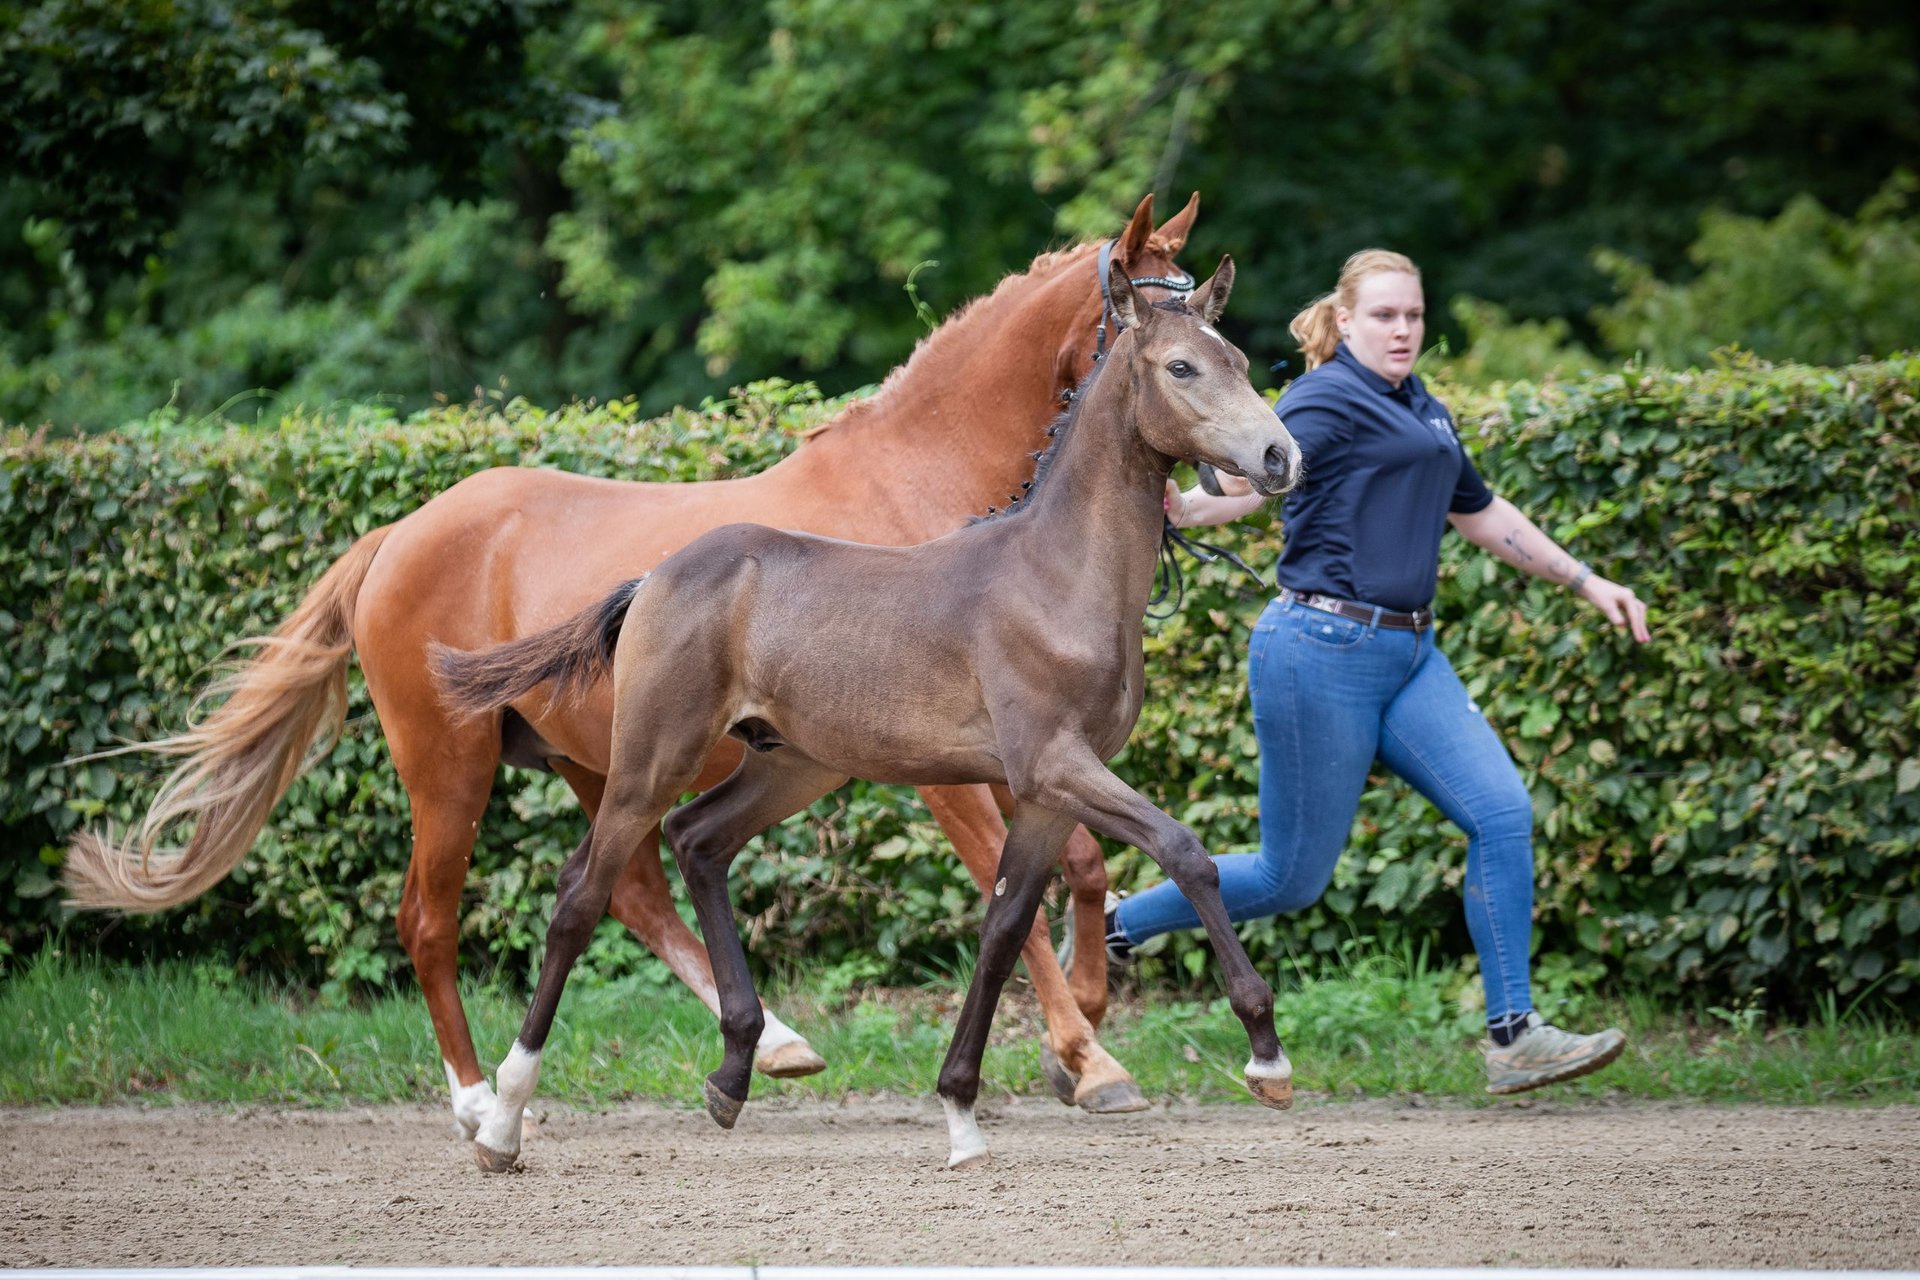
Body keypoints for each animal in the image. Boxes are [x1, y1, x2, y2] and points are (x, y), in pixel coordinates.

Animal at [63, 194, 1204, 1135]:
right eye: (1174, 336)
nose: (1233, 462)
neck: (921, 491)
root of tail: (394, 536)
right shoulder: (947, 772)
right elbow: (1016, 881)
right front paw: (1089, 1055)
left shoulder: (1014, 751)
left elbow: (1079, 864)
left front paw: (1083, 1038)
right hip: (452, 768)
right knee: (432, 920)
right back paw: (480, 1100)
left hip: (597, 761)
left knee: (633, 889)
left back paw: (767, 1045)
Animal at [433, 256, 1302, 1172]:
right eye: (1182, 367)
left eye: (1241, 360)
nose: (1281, 455)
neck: (1057, 574)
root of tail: (655, 577)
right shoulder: (1054, 766)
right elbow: (1186, 852)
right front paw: (1266, 1059)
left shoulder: (1043, 794)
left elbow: (1003, 929)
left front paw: (961, 1112)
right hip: (649, 760)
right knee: (580, 899)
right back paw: (501, 1120)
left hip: (792, 765)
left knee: (698, 841)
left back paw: (734, 1072)